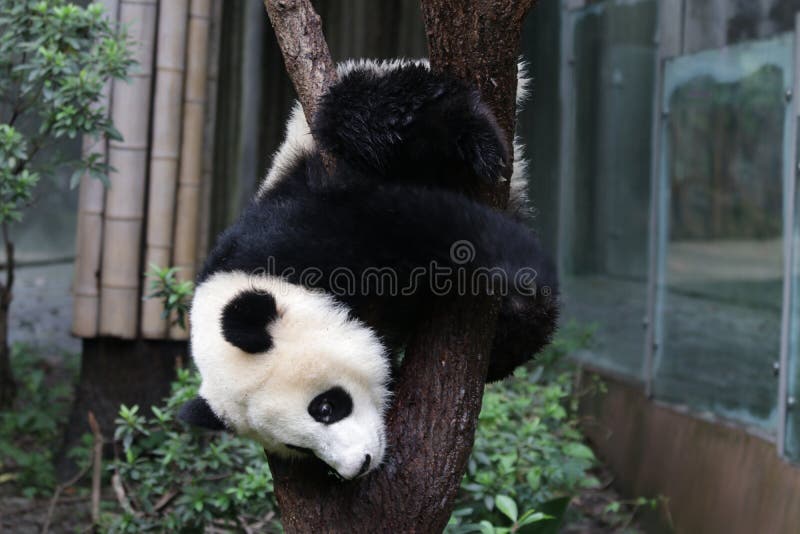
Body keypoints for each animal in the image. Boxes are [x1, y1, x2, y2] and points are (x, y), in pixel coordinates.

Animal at [179, 59, 559, 480]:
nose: (356, 467)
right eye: (298, 447)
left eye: (325, 407)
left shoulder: (305, 230)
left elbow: (410, 225)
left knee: (368, 110)